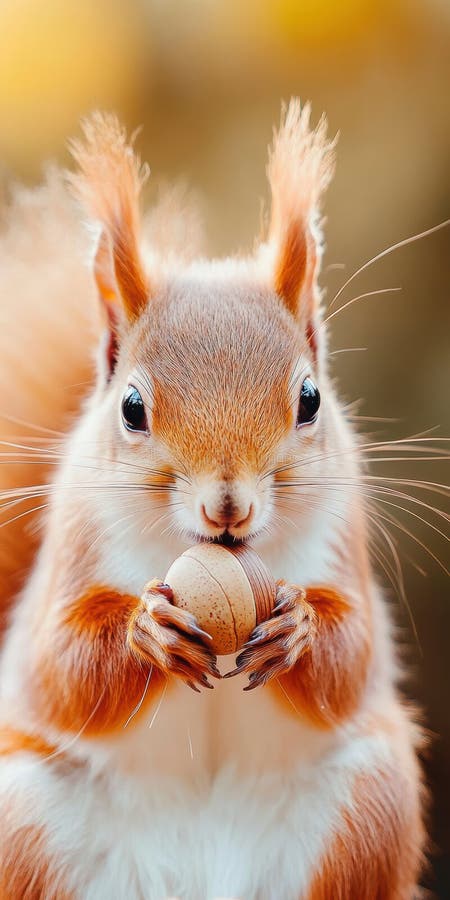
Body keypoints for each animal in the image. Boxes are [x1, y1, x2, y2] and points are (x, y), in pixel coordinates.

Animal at [0, 100, 426, 899]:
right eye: (132, 407)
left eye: (310, 399)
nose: (227, 507)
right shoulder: (72, 547)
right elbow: (58, 667)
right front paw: (145, 630)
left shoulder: (345, 539)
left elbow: (355, 654)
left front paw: (299, 628)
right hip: (21, 820)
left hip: (371, 805)